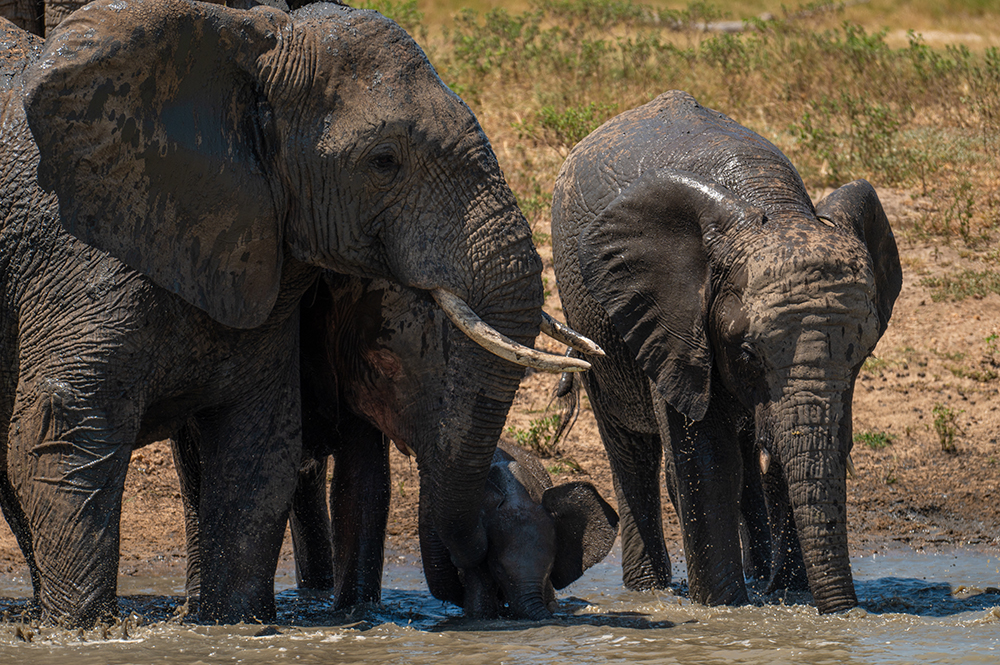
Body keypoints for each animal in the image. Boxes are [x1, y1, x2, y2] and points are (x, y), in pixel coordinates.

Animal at [550, 90, 902, 614]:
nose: (848, 612)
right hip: (585, 320)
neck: (772, 205)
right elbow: (706, 459)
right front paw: (726, 611)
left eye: (861, 358)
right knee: (634, 454)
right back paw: (651, 591)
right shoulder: (672, 319)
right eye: (748, 353)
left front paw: (789, 596)